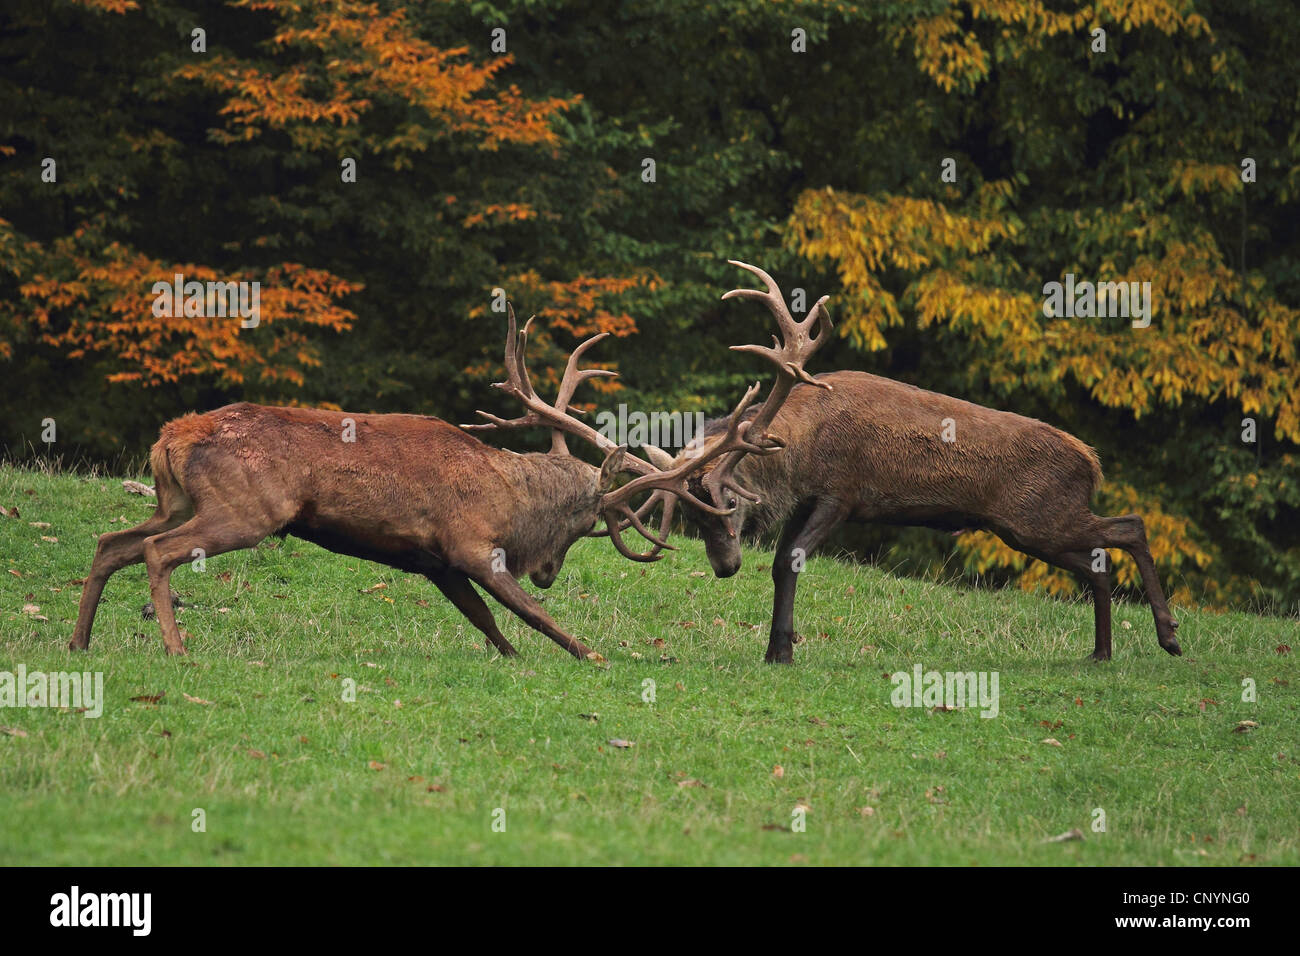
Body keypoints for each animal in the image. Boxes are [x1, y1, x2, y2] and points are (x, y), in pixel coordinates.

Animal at [71, 306, 769, 658]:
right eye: (585, 520)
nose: (547, 569)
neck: (514, 502)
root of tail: (170, 437)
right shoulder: (470, 543)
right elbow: (533, 615)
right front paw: (593, 653)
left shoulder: (433, 562)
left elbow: (485, 621)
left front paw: (513, 658)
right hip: (246, 509)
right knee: (155, 550)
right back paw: (175, 648)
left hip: (173, 499)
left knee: (111, 541)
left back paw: (80, 642)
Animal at [655, 261, 1185, 665]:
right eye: (690, 516)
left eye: (726, 500)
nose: (725, 567)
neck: (801, 451)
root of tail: (1092, 462)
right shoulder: (806, 501)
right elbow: (780, 566)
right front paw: (776, 649)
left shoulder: (841, 494)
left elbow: (789, 561)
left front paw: (781, 653)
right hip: (1024, 529)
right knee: (1099, 564)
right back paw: (1100, 654)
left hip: (1041, 517)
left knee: (1129, 526)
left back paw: (1169, 636)